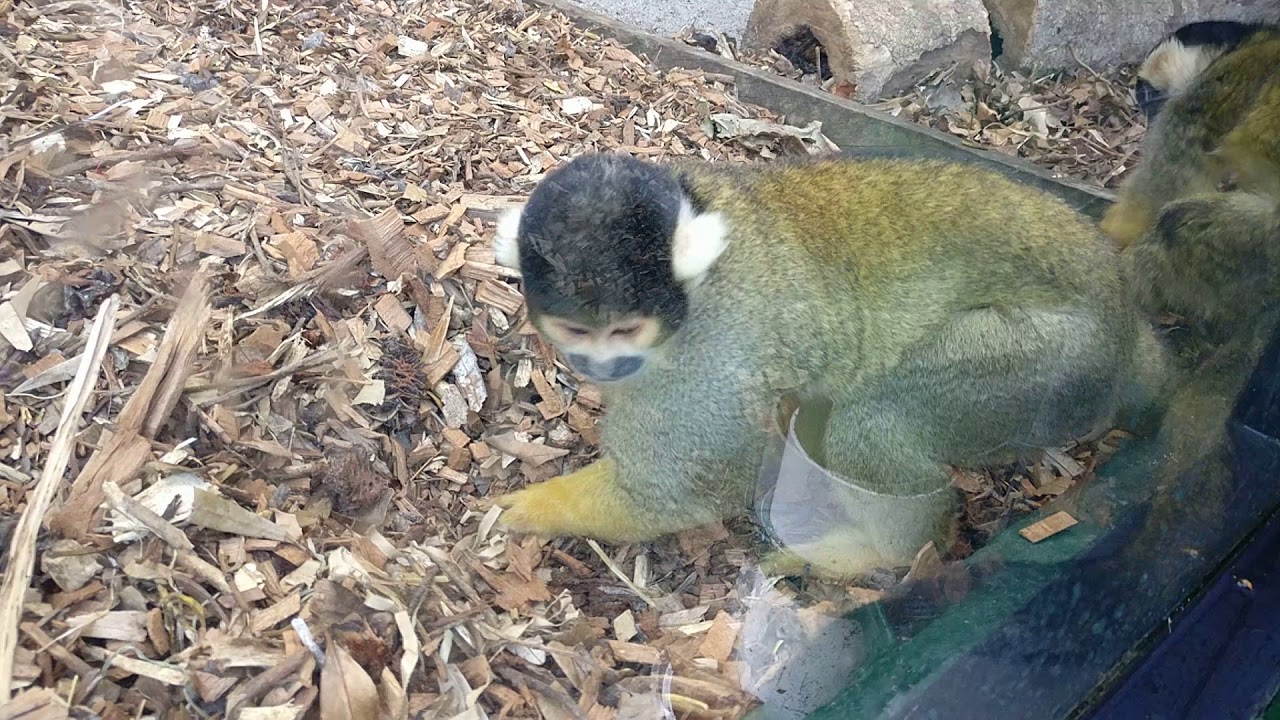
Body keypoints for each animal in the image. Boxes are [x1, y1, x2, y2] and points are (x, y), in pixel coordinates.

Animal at [489, 151, 1169, 580]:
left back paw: (881, 554)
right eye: (576, 330)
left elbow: (684, 488)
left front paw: (530, 509)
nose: (597, 365)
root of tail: (1124, 318)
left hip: (1051, 363)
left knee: (873, 418)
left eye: (623, 330)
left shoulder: (708, 352)